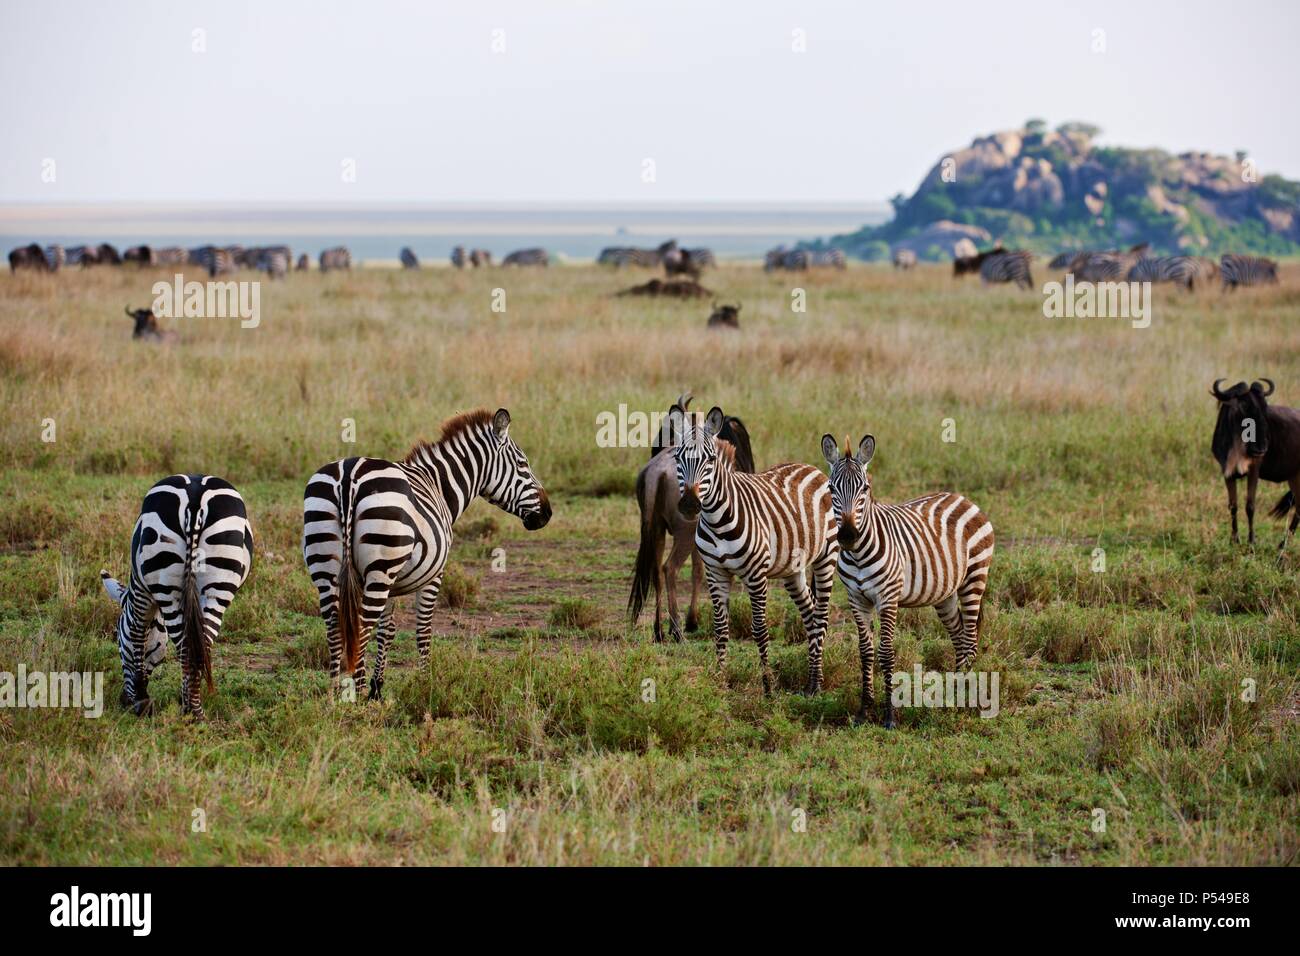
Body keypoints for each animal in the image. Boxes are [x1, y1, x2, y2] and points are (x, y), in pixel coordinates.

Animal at [100, 475, 254, 719]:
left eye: (118, 639)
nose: (124, 701)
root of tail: (195, 503)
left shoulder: (141, 594)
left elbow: (137, 633)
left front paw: (142, 700)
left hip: (166, 583)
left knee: (185, 648)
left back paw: (191, 711)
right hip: (218, 587)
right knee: (201, 646)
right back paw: (195, 711)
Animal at [302, 408, 552, 700]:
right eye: (523, 464)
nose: (547, 513)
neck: (439, 486)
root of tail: (348, 475)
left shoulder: (393, 582)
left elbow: (387, 630)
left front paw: (378, 687)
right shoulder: (434, 574)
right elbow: (422, 630)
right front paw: (424, 684)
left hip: (329, 564)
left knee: (333, 623)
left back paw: (334, 693)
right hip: (379, 567)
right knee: (362, 625)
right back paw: (358, 692)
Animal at [668, 404, 838, 697]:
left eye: (710, 460)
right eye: (678, 458)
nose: (689, 504)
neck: (717, 519)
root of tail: (810, 467)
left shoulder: (756, 575)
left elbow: (759, 629)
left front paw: (768, 687)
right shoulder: (716, 573)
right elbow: (720, 628)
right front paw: (721, 681)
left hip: (826, 558)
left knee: (821, 617)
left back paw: (816, 684)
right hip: (792, 569)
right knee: (809, 613)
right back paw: (810, 680)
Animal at [822, 434, 994, 728]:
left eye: (865, 488)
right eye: (831, 488)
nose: (847, 535)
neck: (858, 554)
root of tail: (963, 498)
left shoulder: (888, 598)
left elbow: (886, 653)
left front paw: (889, 716)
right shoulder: (856, 600)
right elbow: (865, 652)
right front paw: (864, 711)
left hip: (974, 579)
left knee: (970, 639)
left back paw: (966, 702)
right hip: (945, 594)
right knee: (960, 638)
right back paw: (954, 696)